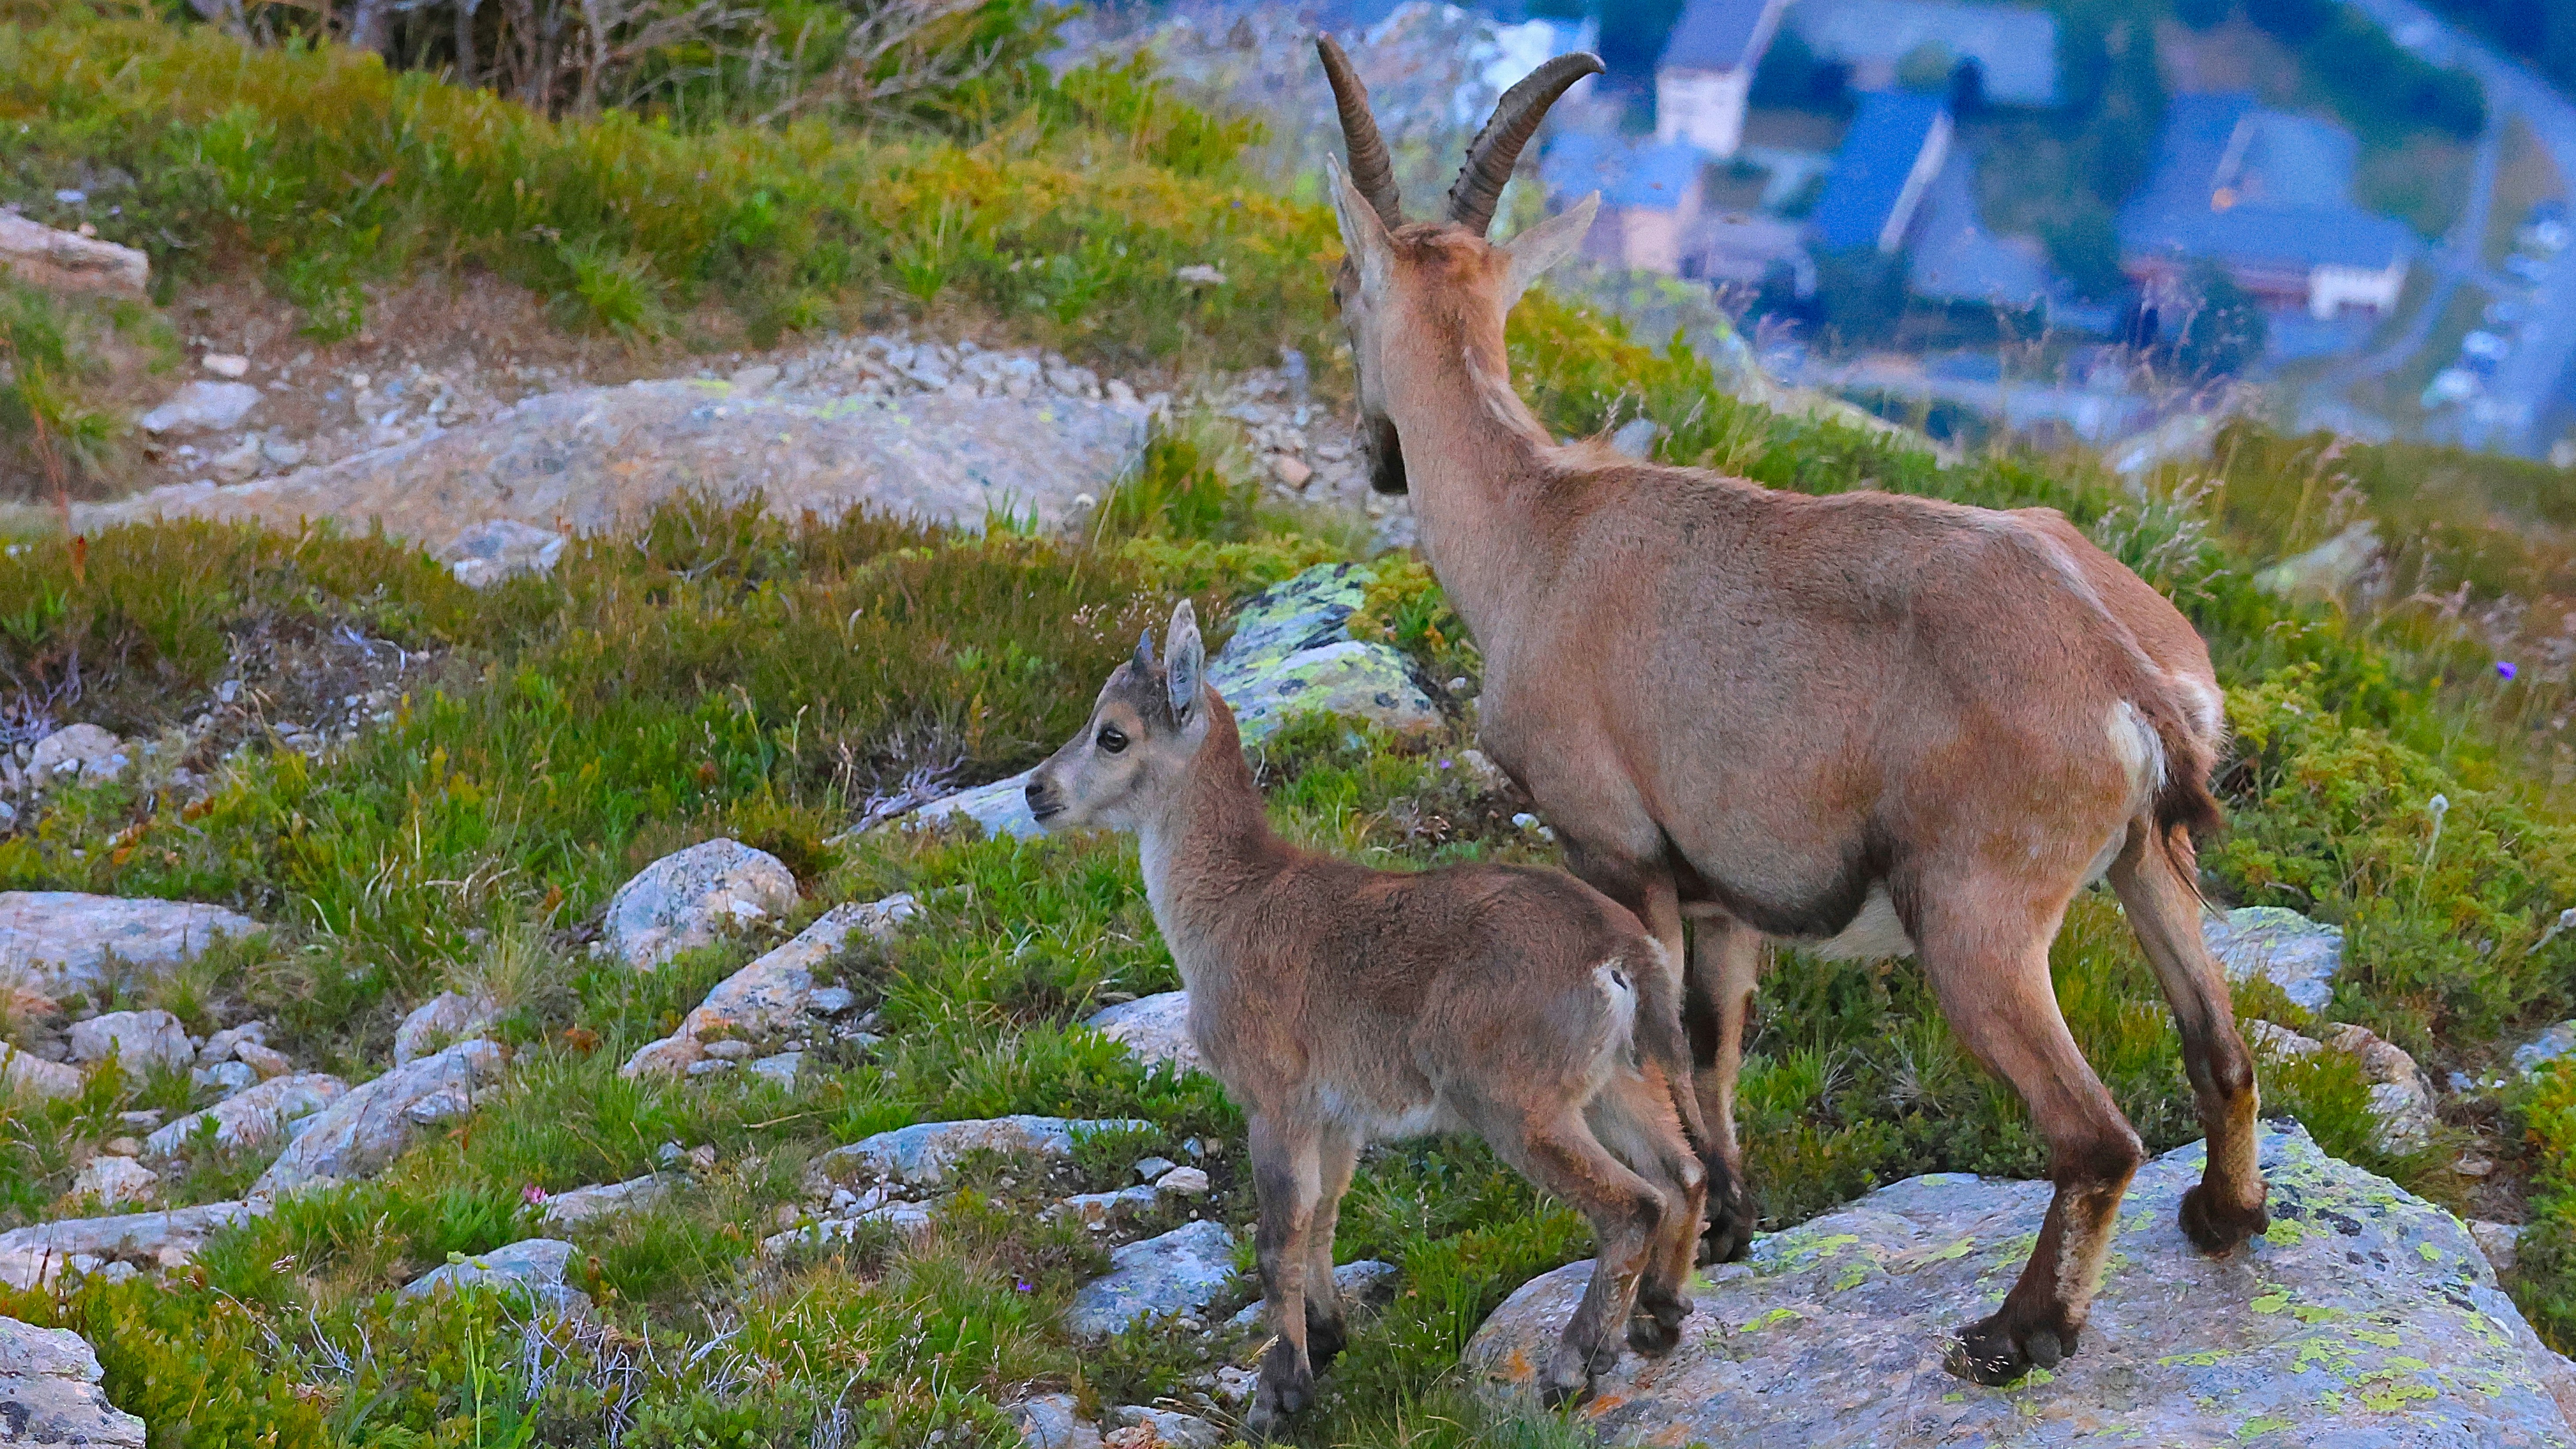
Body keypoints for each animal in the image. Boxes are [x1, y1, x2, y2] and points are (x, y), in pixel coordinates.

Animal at [1024, 600, 1710, 1424]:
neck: (1232, 903)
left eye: (1114, 734)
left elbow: (1276, 1236)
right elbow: (1322, 1218)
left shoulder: (1275, 1099)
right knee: (1685, 1175)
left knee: (1633, 1204)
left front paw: (1279, 1393)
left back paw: (1575, 1363)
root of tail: (1618, 952)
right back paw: (1654, 1320)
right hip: (1619, 1081)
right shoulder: (1339, 1115)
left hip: (1516, 1103)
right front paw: (1325, 1337)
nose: (1035, 792)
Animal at [1312, 37, 2268, 1385]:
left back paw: (2017, 1332)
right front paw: (1724, 1227)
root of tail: (2128, 674)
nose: (1381, 455)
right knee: (2220, 1051)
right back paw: (2221, 1218)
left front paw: (1653, 1304)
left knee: (2093, 1133)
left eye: (1344, 285)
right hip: (2148, 856)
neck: (1538, 528)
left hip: (1976, 911)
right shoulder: (1720, 888)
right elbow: (1713, 1044)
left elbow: (1660, 1060)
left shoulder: (1614, 849)